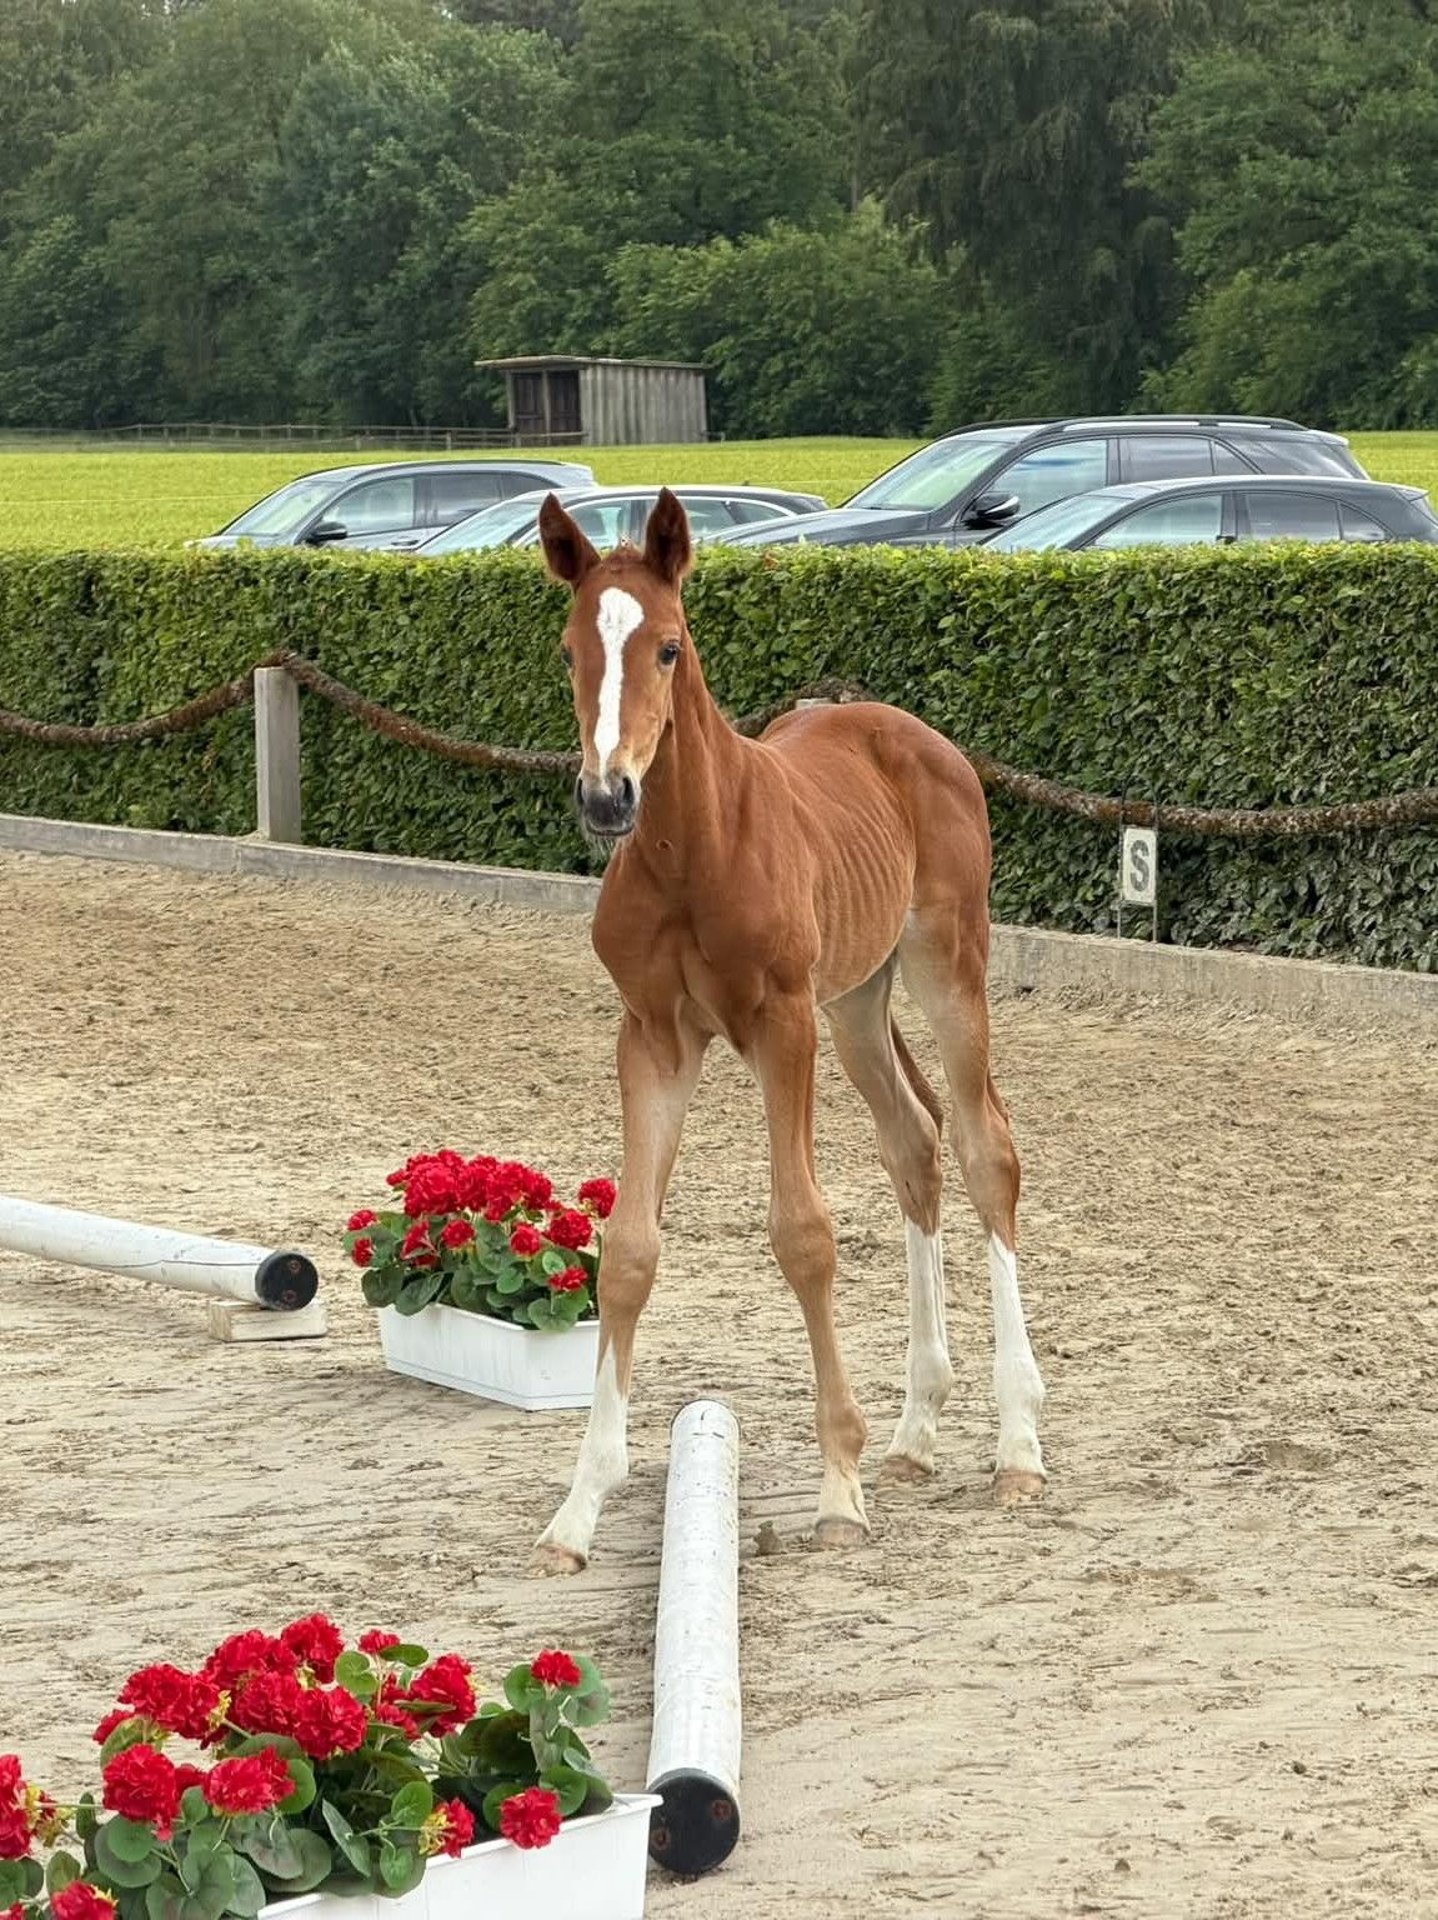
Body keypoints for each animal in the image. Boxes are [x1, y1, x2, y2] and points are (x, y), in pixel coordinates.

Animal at [533, 488, 1046, 1573]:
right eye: (569, 650)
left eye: (669, 646)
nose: (607, 796)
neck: (693, 851)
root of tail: (913, 732)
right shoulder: (653, 1036)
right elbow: (628, 1251)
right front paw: (578, 1508)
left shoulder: (781, 1023)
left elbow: (803, 1233)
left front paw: (839, 1487)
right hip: (855, 1003)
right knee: (914, 1144)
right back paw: (916, 1432)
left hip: (944, 966)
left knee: (986, 1149)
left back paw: (1017, 1444)